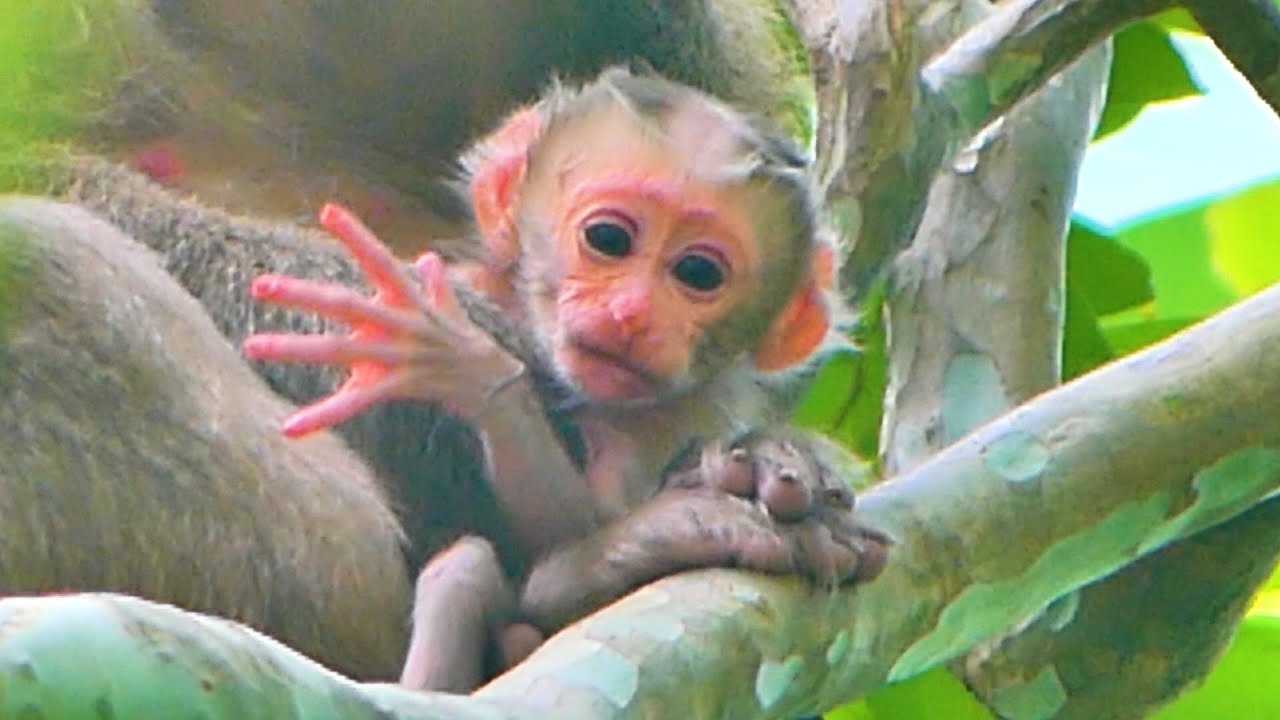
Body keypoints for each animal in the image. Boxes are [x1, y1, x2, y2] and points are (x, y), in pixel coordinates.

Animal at [243, 69, 881, 691]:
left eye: (698, 272)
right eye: (608, 239)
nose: (630, 312)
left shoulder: (659, 418)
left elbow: (566, 519)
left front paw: (463, 364)